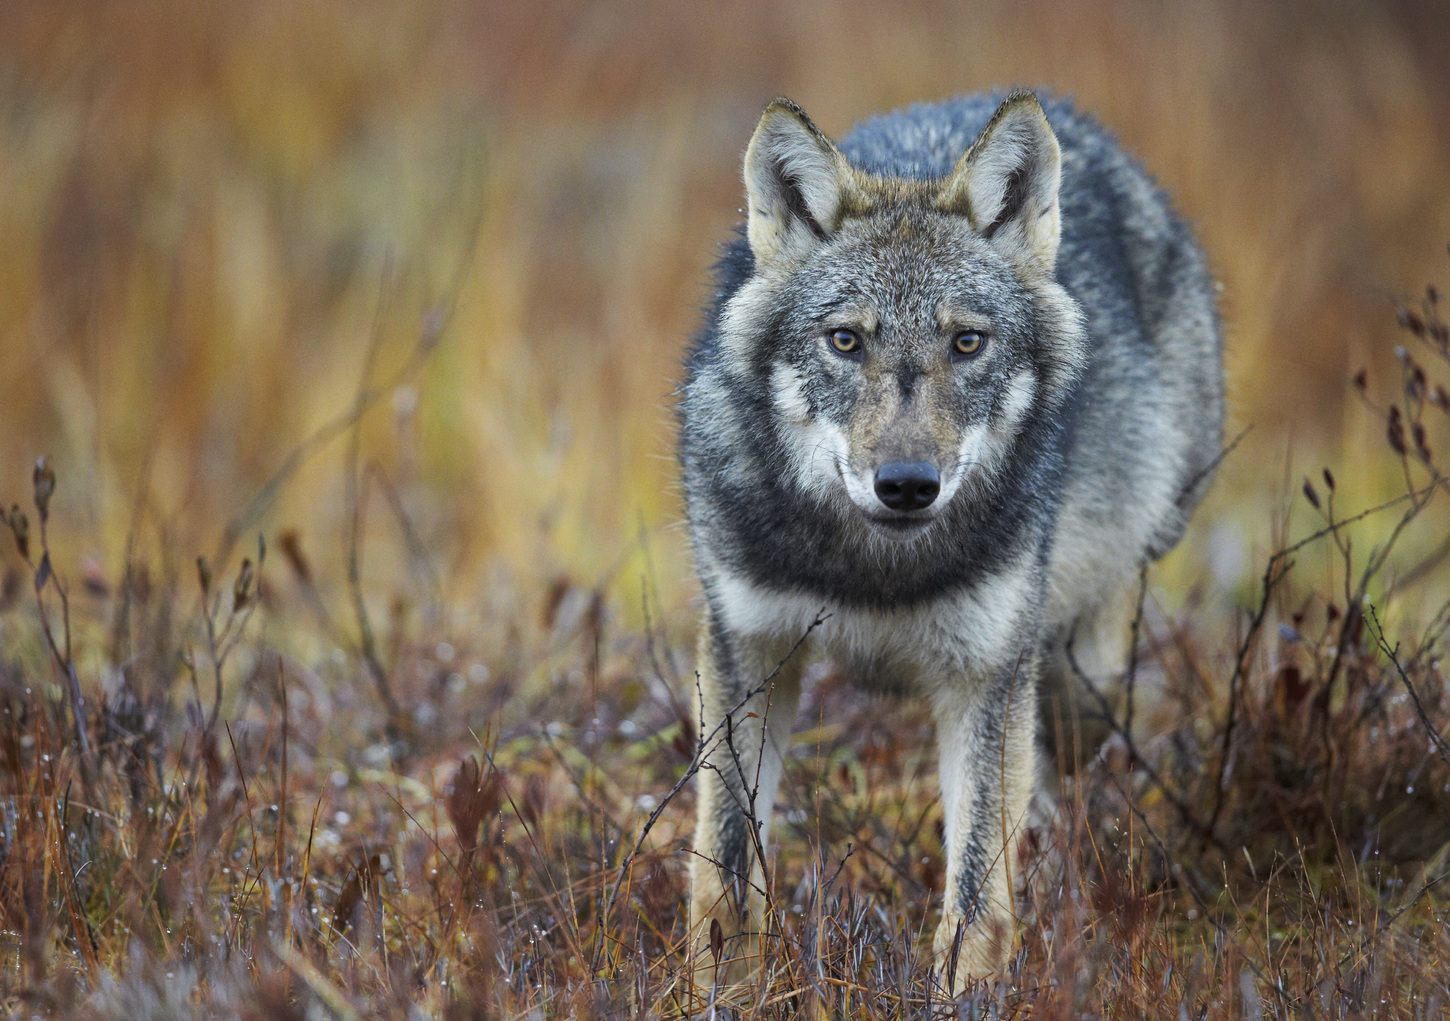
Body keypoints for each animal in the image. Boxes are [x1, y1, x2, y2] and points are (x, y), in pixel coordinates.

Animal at [678, 89, 1223, 993]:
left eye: (967, 342)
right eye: (846, 340)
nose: (906, 484)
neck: (874, 573)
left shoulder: (985, 675)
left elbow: (975, 891)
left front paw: (965, 996)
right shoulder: (744, 651)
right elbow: (723, 871)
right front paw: (721, 994)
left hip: (1079, 671)